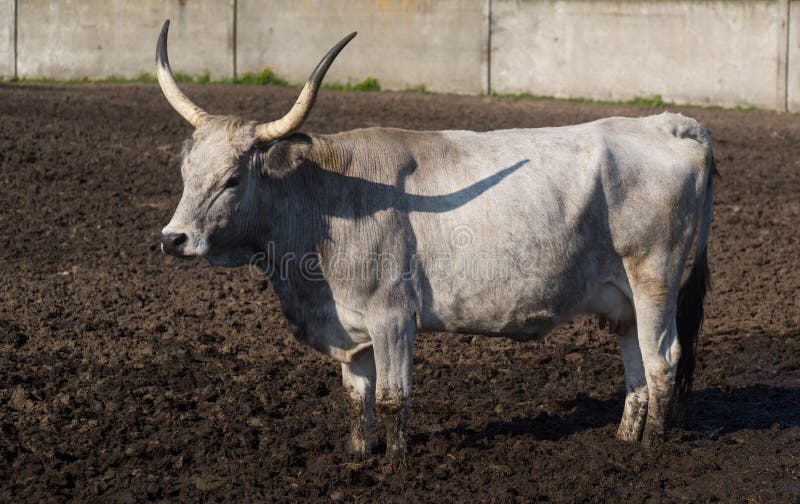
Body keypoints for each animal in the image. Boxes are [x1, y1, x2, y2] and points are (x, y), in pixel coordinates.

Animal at [154, 20, 714, 465]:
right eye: (185, 171)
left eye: (232, 179)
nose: (173, 238)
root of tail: (672, 123)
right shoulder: (349, 326)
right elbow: (356, 398)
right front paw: (359, 457)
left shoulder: (393, 315)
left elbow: (391, 397)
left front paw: (396, 465)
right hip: (620, 295)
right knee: (636, 361)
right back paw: (623, 439)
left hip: (654, 276)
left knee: (662, 359)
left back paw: (651, 449)